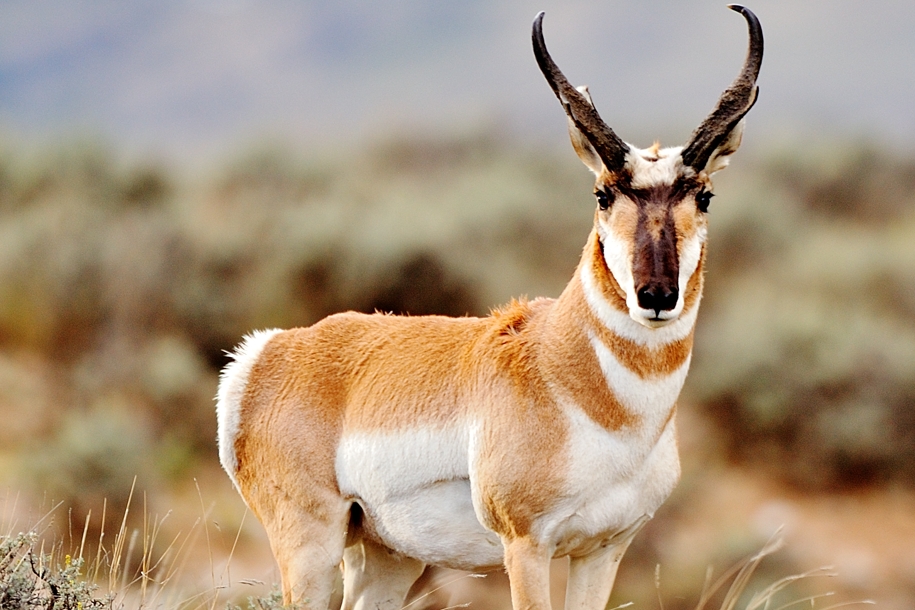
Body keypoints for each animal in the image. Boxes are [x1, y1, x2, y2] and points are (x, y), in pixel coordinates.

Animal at [216, 5, 762, 610]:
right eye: (603, 194)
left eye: (704, 196)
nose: (657, 295)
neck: (571, 376)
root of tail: (267, 353)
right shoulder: (526, 546)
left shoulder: (603, 550)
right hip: (311, 545)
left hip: (388, 555)